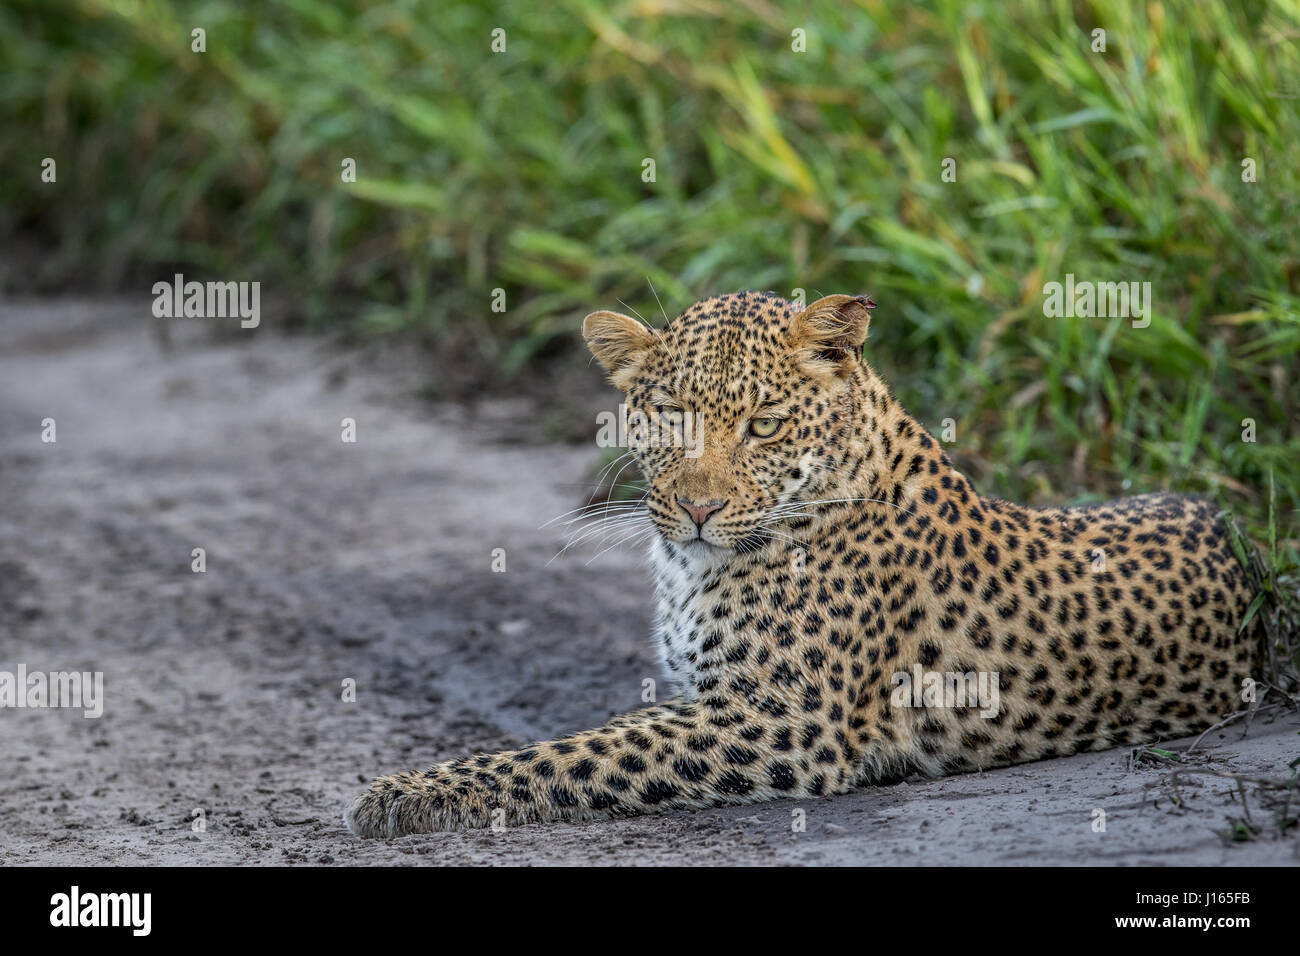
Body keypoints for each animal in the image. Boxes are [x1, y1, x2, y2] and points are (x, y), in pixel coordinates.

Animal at [344, 290, 1261, 837]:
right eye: (668, 417)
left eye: (764, 424)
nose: (699, 509)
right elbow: (597, 736)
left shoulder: (782, 717)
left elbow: (577, 751)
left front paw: (403, 793)